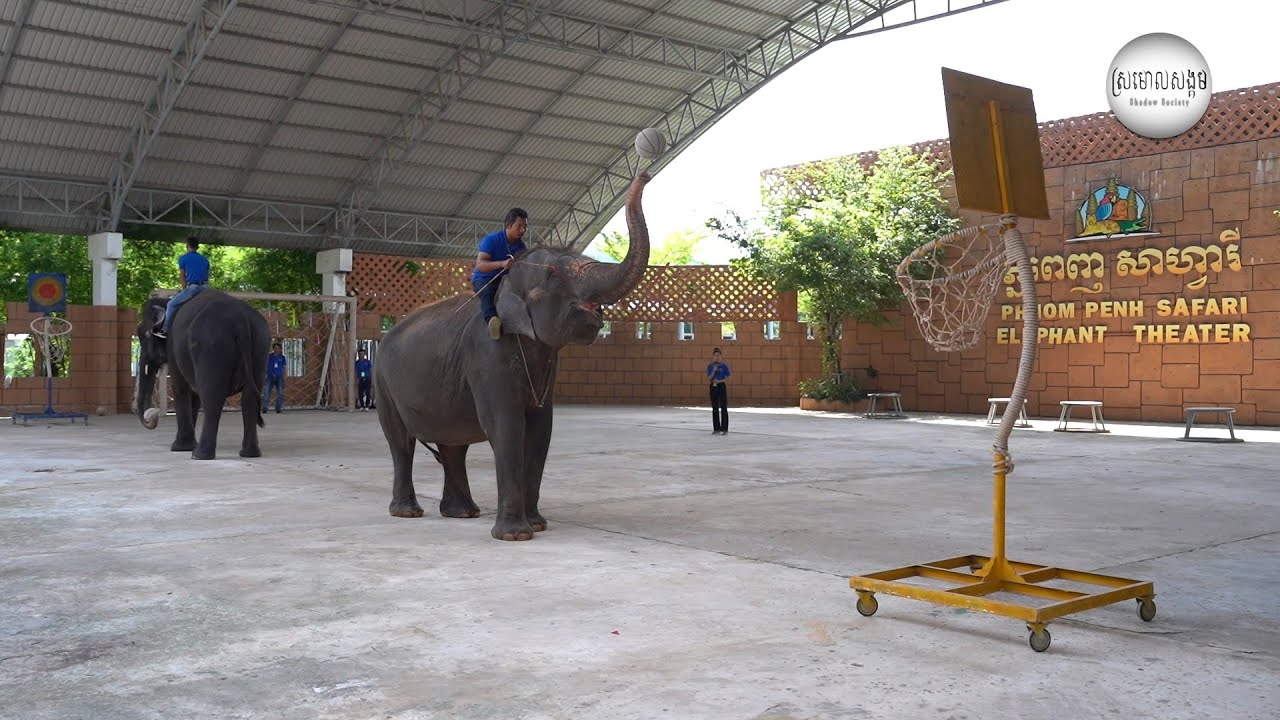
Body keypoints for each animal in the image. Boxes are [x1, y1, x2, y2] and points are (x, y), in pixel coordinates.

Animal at [134, 290, 272, 460]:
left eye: (144, 335)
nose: (153, 415)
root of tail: (241, 321)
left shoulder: (173, 349)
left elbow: (181, 389)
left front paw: (179, 448)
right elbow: (194, 396)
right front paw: (187, 445)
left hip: (212, 347)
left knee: (212, 397)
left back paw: (199, 455)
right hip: (260, 346)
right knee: (249, 399)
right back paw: (249, 453)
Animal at [375, 171, 652, 541]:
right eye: (553, 275)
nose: (644, 174)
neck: (505, 285)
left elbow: (540, 430)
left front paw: (537, 525)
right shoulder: (487, 356)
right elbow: (506, 427)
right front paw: (515, 535)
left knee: (452, 446)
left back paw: (462, 513)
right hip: (383, 383)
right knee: (401, 442)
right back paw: (408, 512)